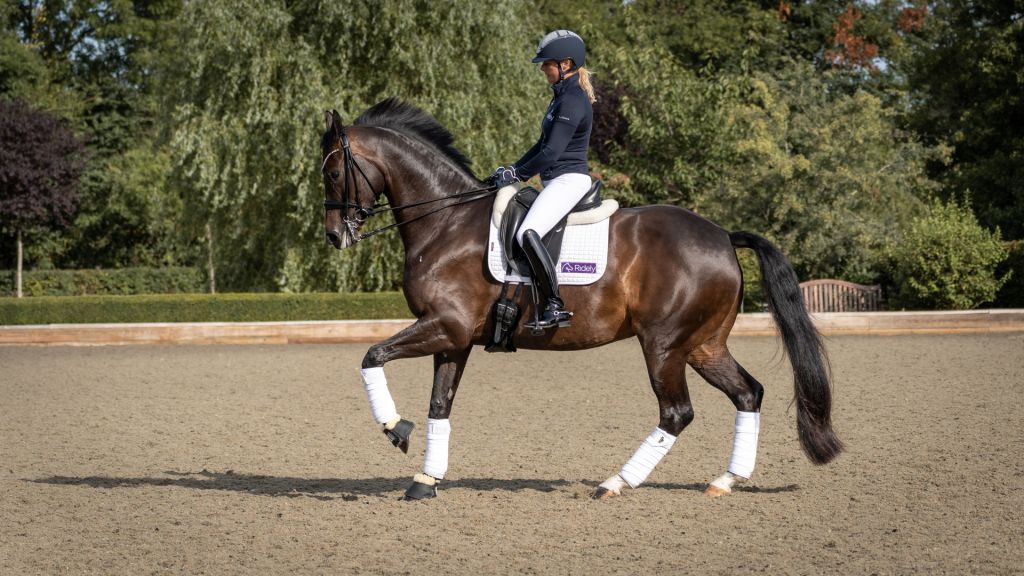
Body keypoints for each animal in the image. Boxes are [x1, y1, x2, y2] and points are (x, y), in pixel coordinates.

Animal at [320, 98, 841, 501]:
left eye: (333, 173)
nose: (334, 236)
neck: (445, 221)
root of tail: (722, 236)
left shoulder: (444, 326)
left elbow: (371, 357)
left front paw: (395, 429)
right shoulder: (454, 338)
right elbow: (439, 406)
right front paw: (426, 479)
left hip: (664, 345)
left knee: (677, 412)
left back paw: (616, 483)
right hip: (703, 345)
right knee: (747, 393)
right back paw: (726, 480)